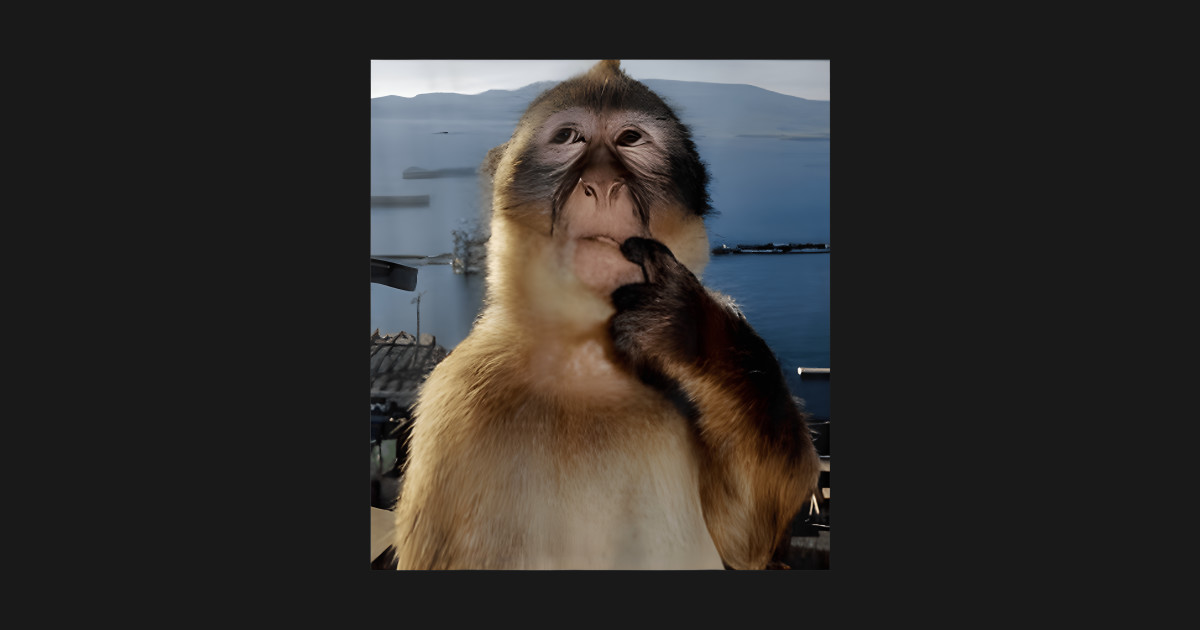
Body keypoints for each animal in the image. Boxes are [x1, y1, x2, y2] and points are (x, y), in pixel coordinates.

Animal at [389, 60, 820, 569]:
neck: (586, 359)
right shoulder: (455, 405)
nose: (602, 185)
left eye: (631, 138)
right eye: (568, 137)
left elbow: (746, 540)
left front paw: (686, 328)